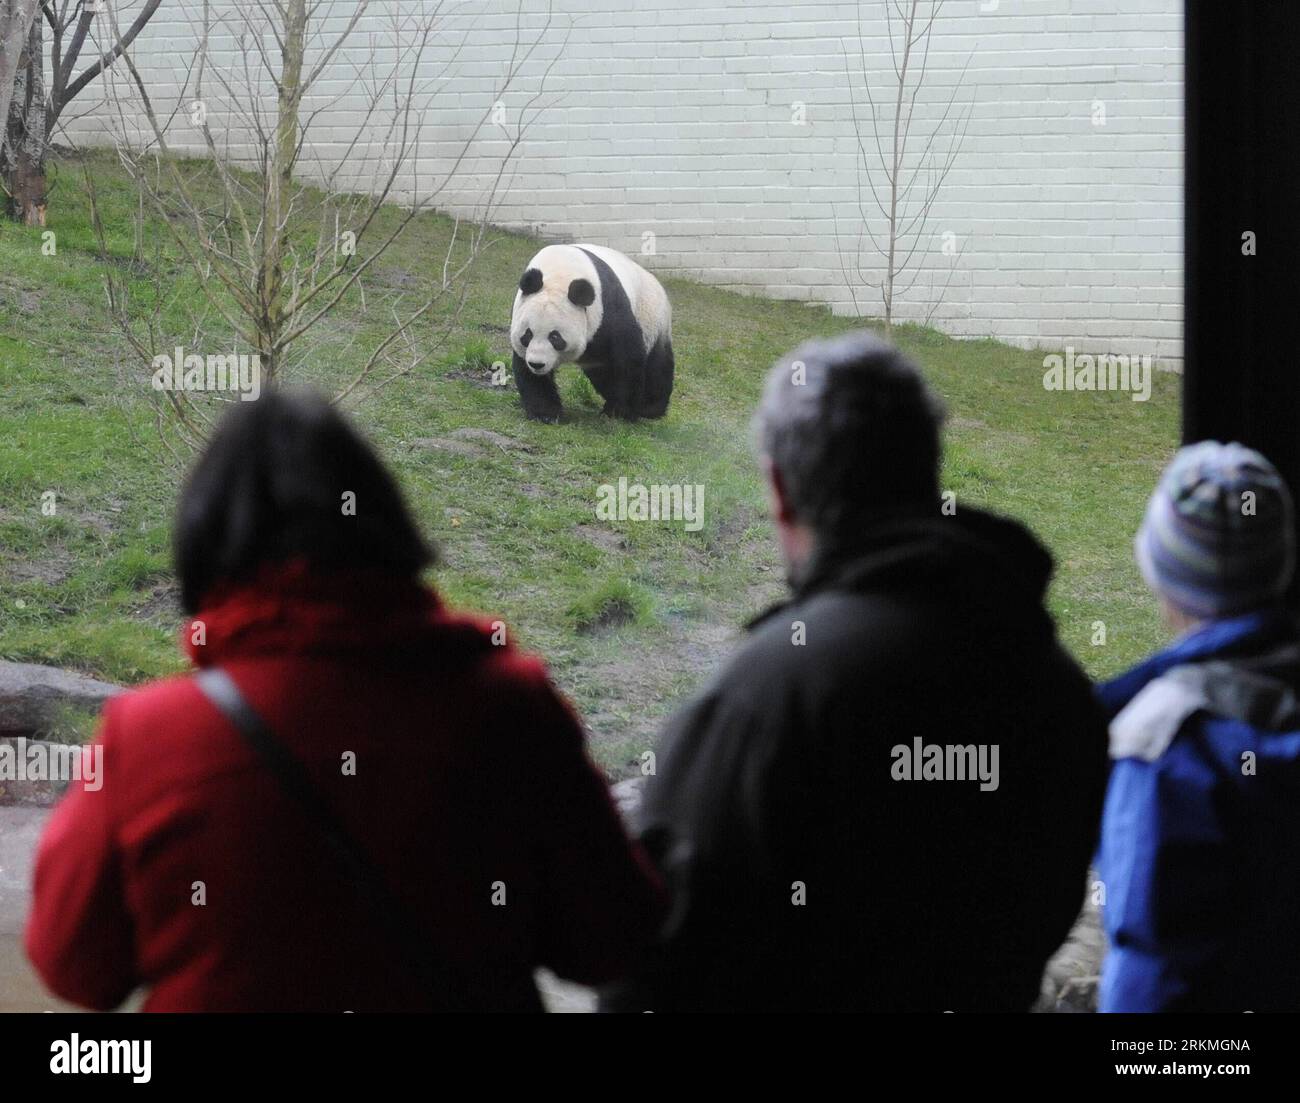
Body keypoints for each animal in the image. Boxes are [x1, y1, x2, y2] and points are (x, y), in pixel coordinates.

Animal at [508, 244, 674, 422]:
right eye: (527, 335)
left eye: (555, 337)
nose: (537, 364)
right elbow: (526, 368)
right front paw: (546, 413)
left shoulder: (609, 309)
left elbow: (627, 358)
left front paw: (621, 412)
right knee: (602, 373)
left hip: (652, 318)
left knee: (657, 365)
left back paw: (650, 407)